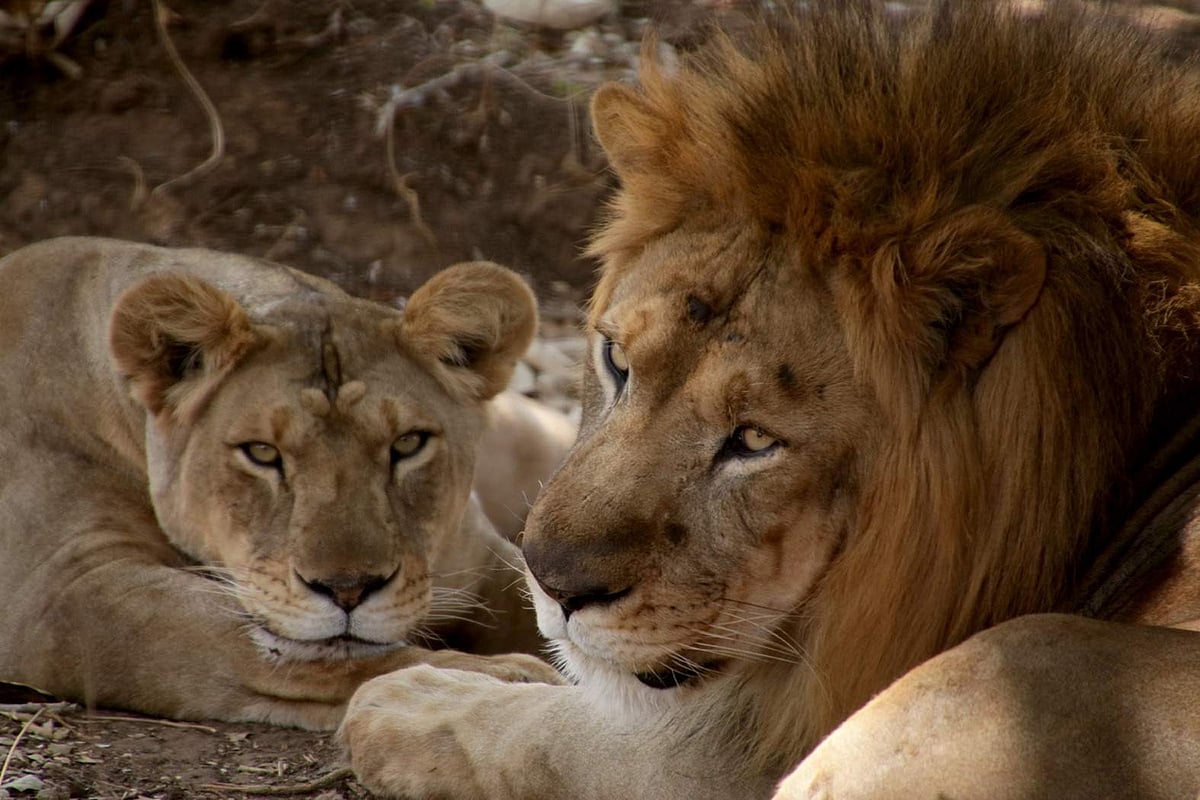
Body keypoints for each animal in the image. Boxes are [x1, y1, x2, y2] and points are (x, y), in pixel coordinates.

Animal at [0, 236, 570, 729]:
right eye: (262, 452)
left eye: (408, 443)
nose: (348, 589)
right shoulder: (68, 585)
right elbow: (302, 652)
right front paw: (500, 680)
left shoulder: (479, 561)